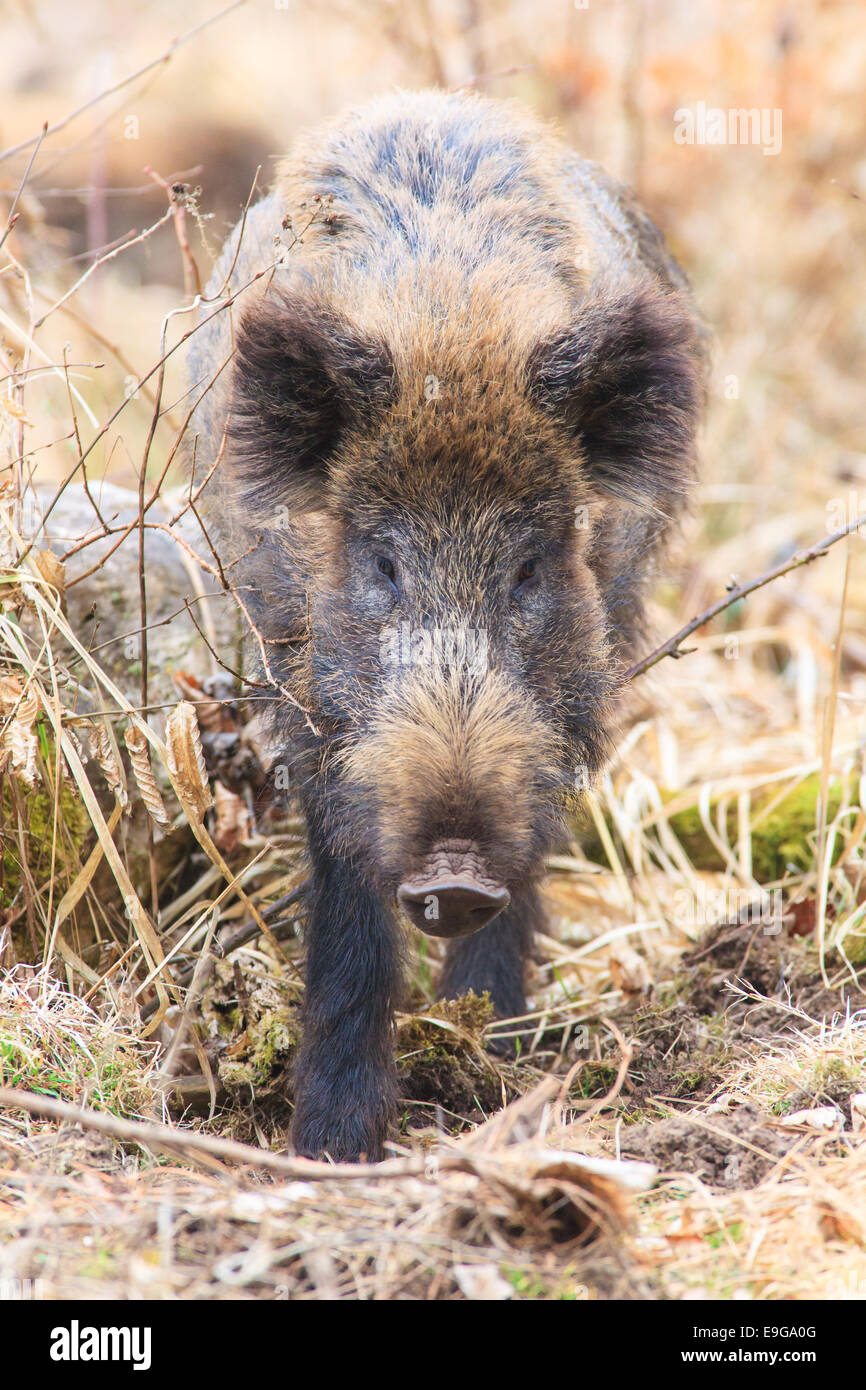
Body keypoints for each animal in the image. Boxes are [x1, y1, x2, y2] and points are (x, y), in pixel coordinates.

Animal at [185, 89, 706, 1160]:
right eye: (383, 562)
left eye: (529, 567)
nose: (456, 872)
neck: (450, 334)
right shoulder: (304, 679)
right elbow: (345, 880)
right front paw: (332, 1146)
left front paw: (496, 1057)